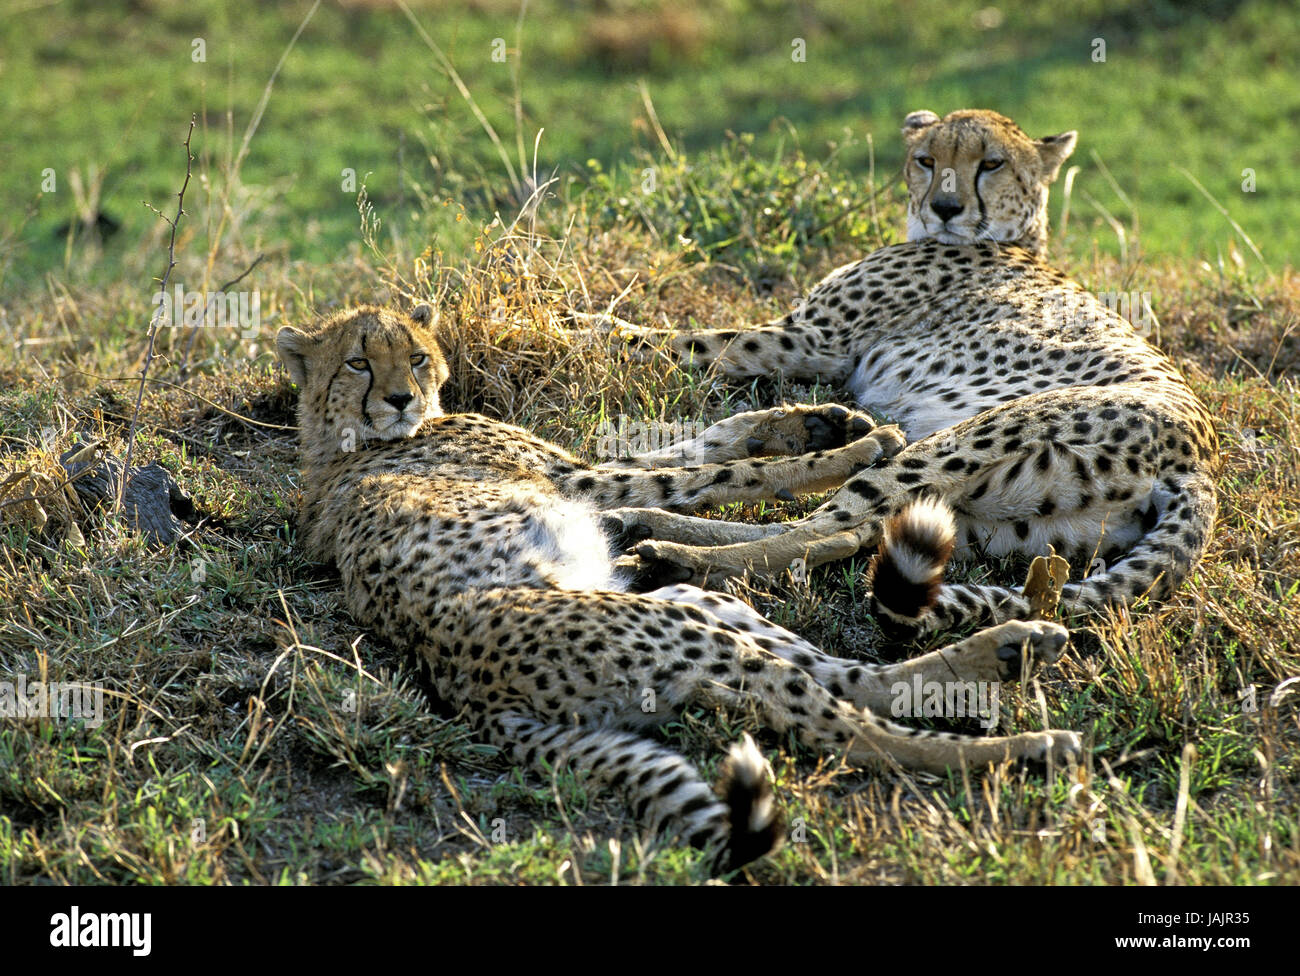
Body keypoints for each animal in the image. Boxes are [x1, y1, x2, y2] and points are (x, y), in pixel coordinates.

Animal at [276, 302, 1083, 872]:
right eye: (357, 363)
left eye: (416, 357)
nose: (401, 400)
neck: (341, 446)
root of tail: (464, 693)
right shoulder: (582, 481)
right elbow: (721, 473)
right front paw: (856, 448)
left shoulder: (590, 473)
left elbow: (704, 443)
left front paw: (819, 421)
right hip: (676, 632)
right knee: (851, 731)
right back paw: (1030, 749)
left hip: (685, 606)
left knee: (854, 679)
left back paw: (1008, 650)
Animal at [589, 109, 1219, 639]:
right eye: (925, 160)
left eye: (991, 164)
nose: (945, 208)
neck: (1011, 241)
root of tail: (1199, 459)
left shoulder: (807, 338)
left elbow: (665, 337)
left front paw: (581, 321)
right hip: (998, 525)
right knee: (842, 532)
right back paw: (646, 528)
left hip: (960, 442)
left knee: (818, 527)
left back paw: (671, 553)